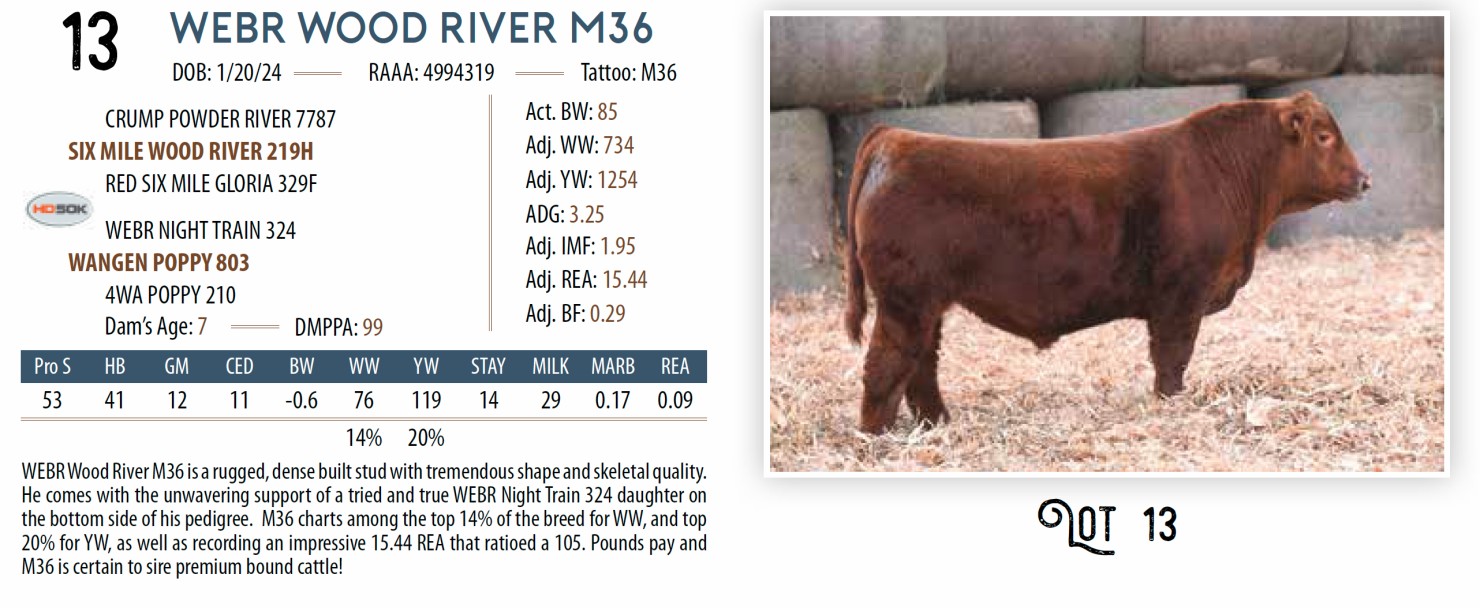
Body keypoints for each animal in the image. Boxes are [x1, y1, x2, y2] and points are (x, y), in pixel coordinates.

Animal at [843, 91, 1370, 434]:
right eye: (1324, 136)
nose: (1365, 180)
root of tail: (895, 137)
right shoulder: (1181, 296)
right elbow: (1172, 358)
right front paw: (1171, 404)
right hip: (905, 302)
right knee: (886, 364)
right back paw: (877, 434)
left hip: (926, 305)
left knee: (922, 366)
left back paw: (936, 424)